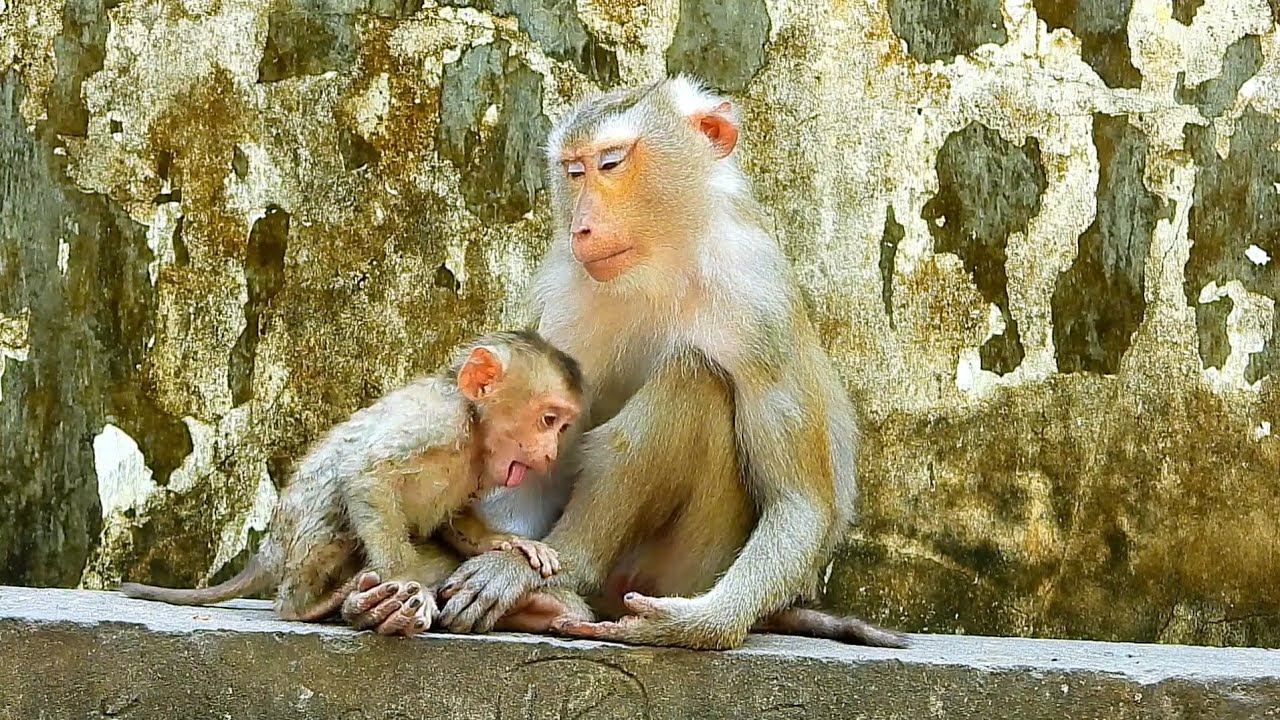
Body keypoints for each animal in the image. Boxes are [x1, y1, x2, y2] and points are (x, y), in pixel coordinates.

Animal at [119, 330, 591, 637]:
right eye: (548, 420)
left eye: (562, 426)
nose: (550, 452)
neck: (475, 433)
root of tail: (272, 549)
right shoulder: (439, 421)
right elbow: (367, 474)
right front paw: (407, 585)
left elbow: (452, 520)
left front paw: (505, 542)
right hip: (300, 554)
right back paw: (310, 606)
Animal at [348, 75, 908, 650]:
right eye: (574, 171)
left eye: (612, 163)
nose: (582, 226)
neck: (663, 265)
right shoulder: (568, 303)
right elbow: (532, 446)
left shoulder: (758, 304)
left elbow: (801, 503)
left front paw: (696, 625)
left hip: (686, 568)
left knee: (693, 379)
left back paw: (559, 574)